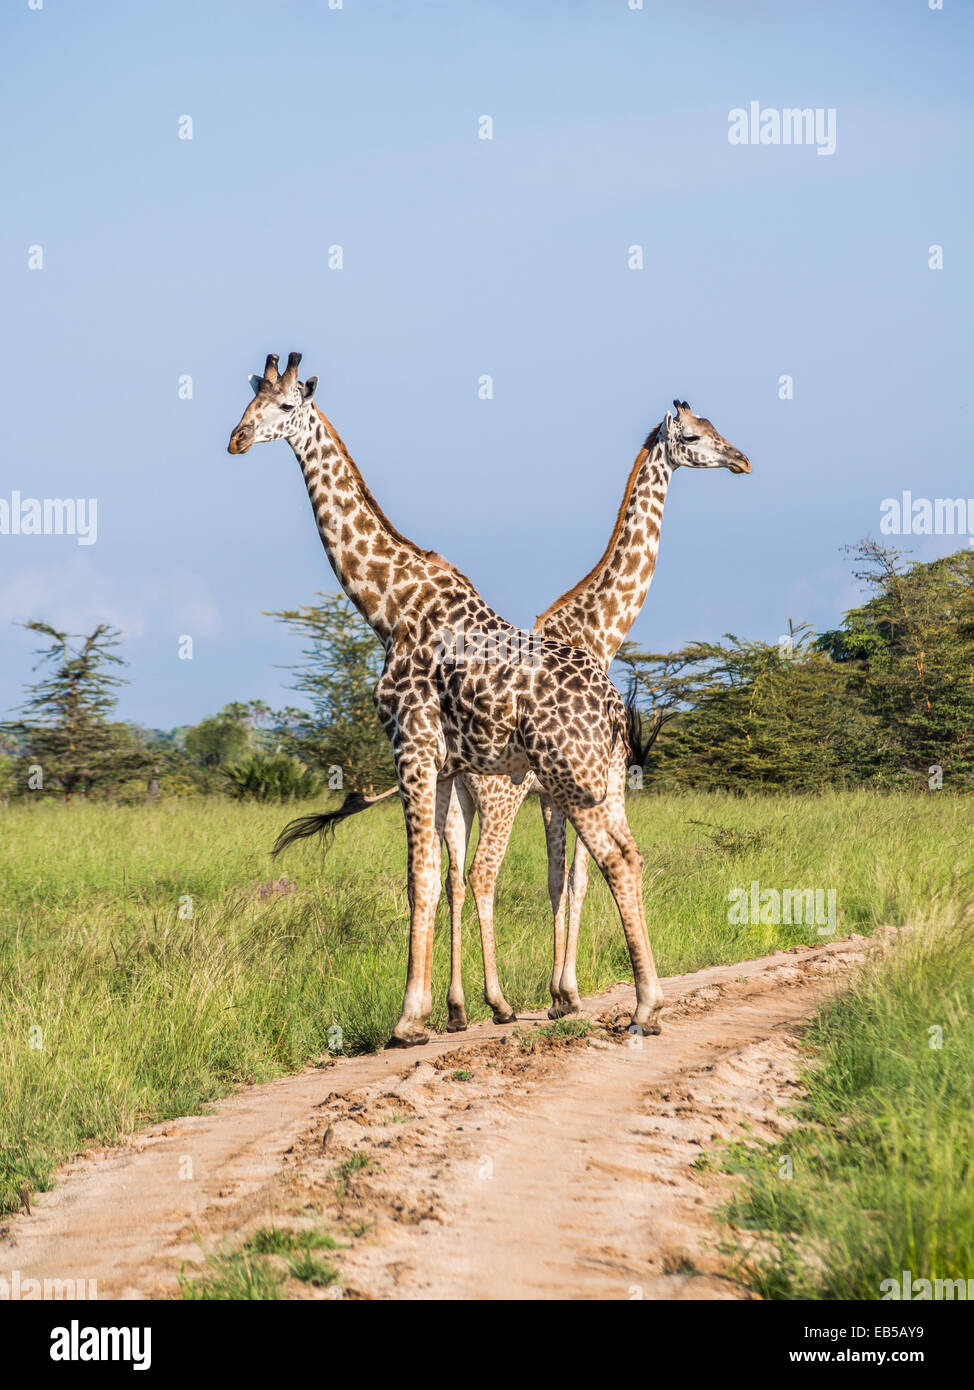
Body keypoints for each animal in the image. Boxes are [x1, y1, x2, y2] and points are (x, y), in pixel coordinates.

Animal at [228, 352, 663, 1047]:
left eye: (287, 406)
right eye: (249, 400)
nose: (238, 438)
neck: (387, 605)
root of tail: (613, 705)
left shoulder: (411, 748)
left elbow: (422, 877)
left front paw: (409, 1018)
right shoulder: (439, 766)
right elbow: (435, 883)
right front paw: (439, 1010)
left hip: (570, 777)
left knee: (614, 862)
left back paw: (645, 1007)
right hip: (596, 780)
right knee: (623, 857)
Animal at [438, 401, 751, 1029]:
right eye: (693, 436)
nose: (741, 460)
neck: (598, 632)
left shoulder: (554, 798)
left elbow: (558, 882)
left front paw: (561, 995)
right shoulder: (581, 785)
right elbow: (581, 880)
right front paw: (569, 994)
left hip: (461, 794)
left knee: (454, 879)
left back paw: (457, 1008)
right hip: (500, 795)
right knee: (482, 875)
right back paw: (497, 1003)